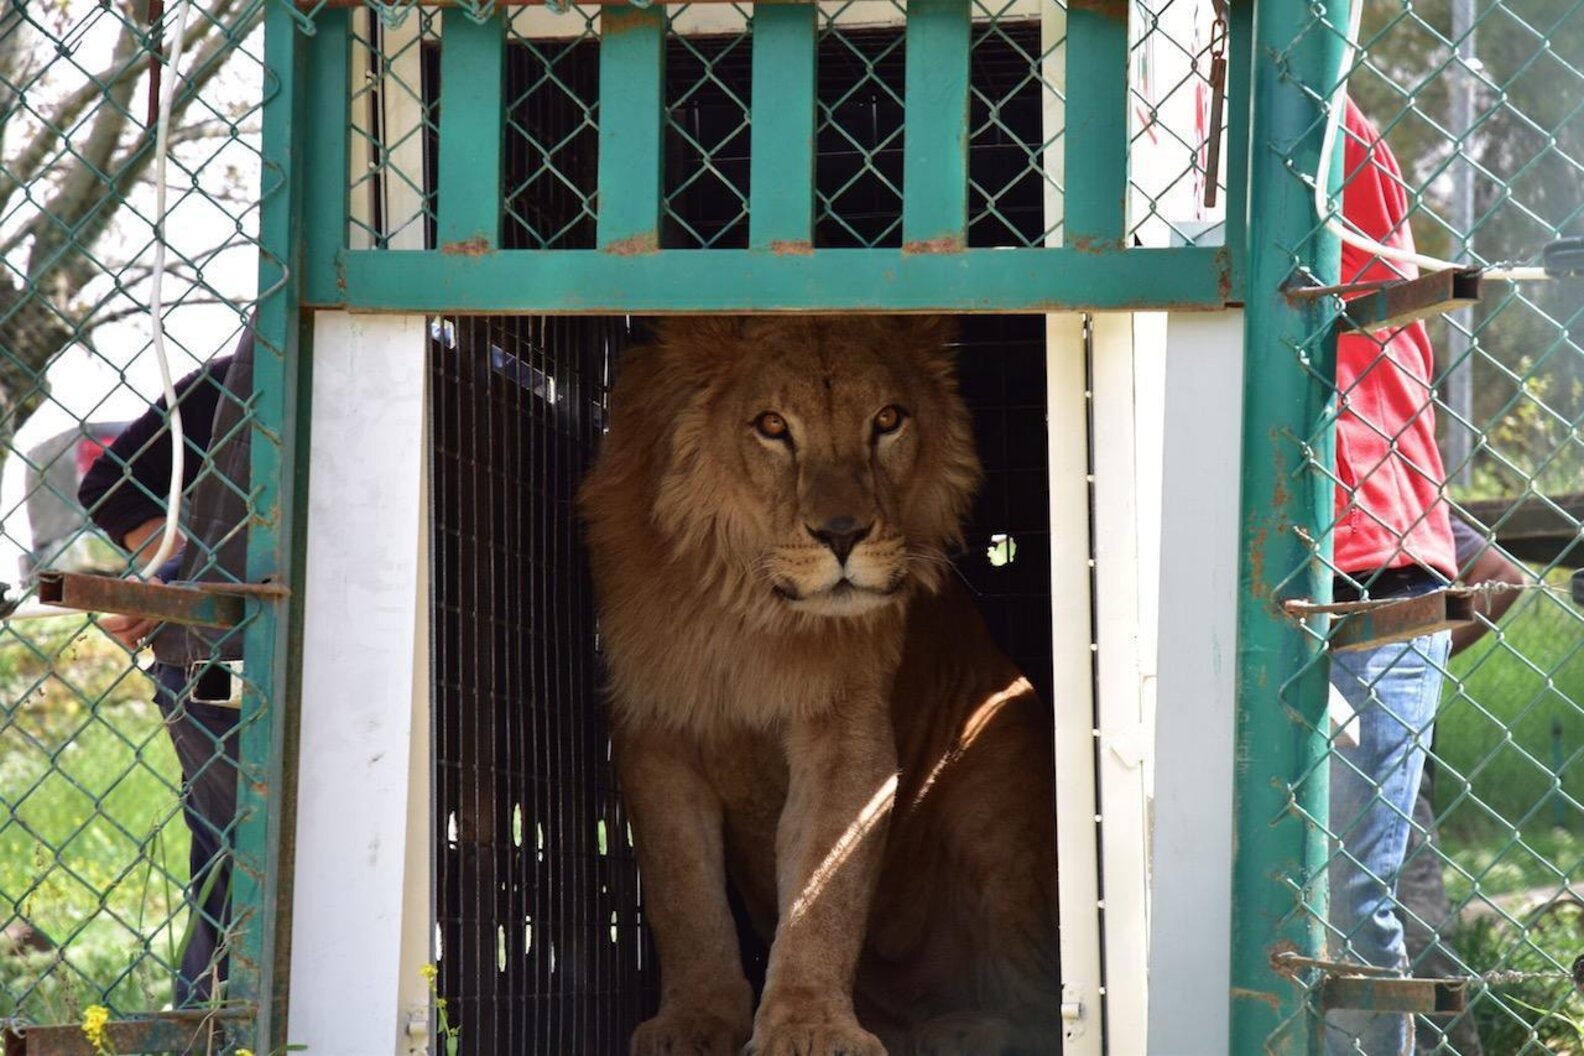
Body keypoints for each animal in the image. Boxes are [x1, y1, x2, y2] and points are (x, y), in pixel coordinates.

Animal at [579, 316, 1061, 1056]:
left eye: (887, 419)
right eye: (773, 425)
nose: (843, 534)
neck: (751, 607)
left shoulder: (846, 730)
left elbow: (823, 882)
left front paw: (808, 1026)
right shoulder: (654, 729)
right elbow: (682, 892)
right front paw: (695, 1021)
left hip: (1000, 784)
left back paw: (969, 1029)